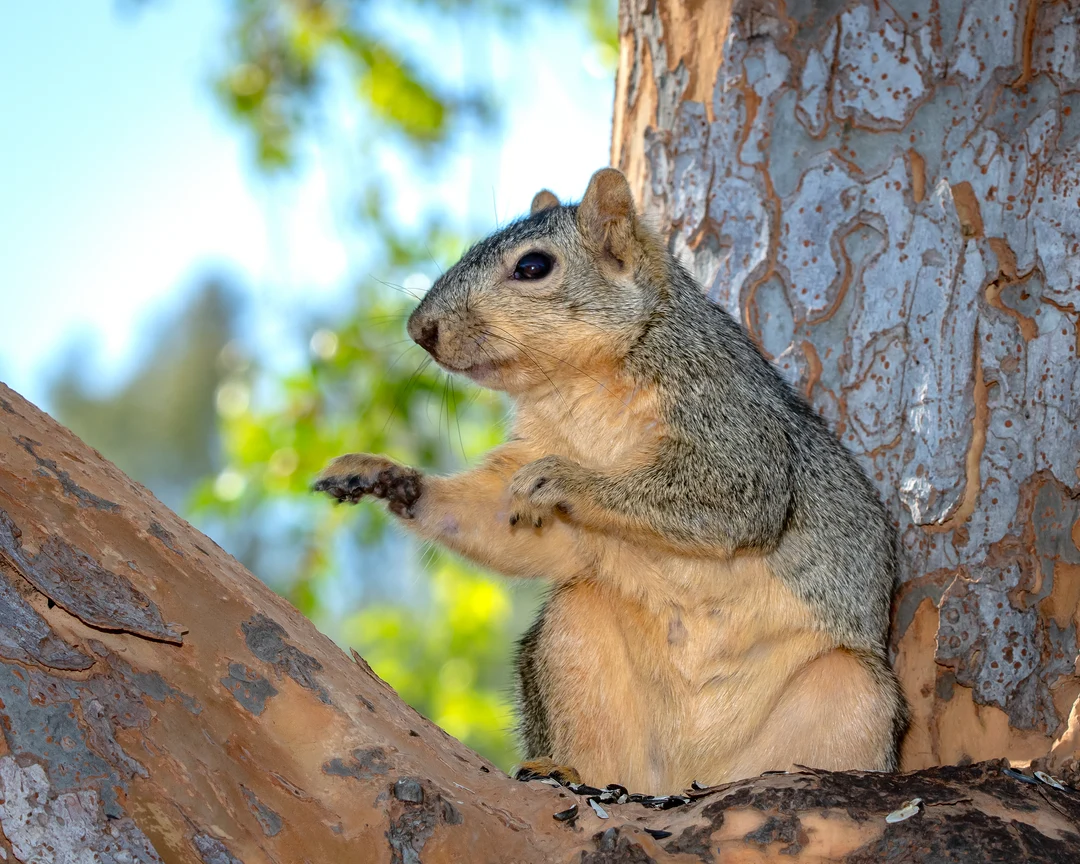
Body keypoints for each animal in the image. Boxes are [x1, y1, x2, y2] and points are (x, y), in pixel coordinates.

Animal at [314, 168, 909, 793]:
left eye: (533, 266)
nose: (420, 330)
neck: (580, 387)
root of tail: (686, 778)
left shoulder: (732, 423)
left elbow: (732, 497)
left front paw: (564, 480)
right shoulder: (535, 458)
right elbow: (502, 523)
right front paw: (385, 476)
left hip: (850, 696)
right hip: (578, 636)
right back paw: (561, 770)